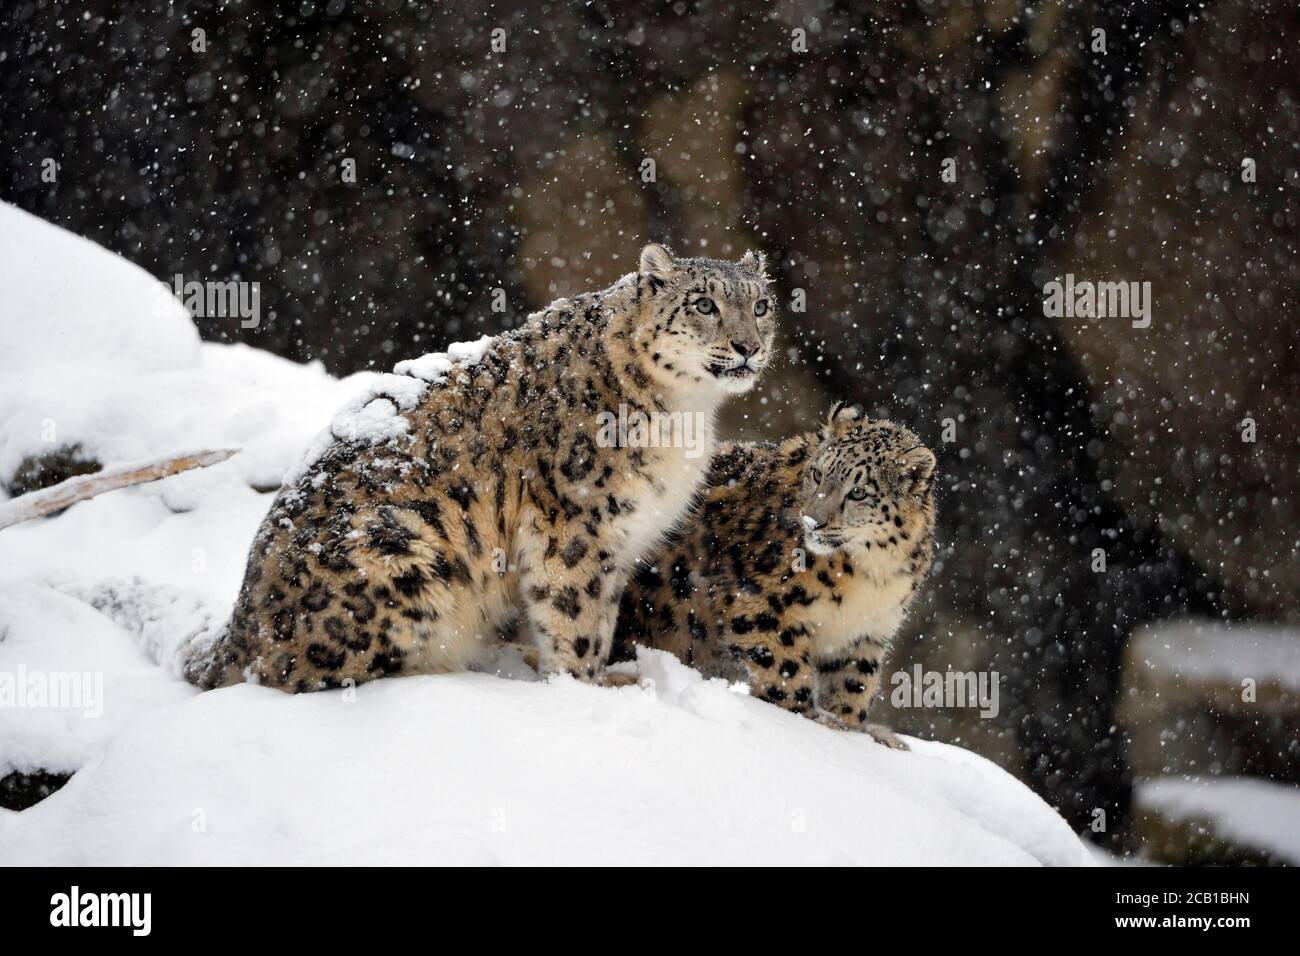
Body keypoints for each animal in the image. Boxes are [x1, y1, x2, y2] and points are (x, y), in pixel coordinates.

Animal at [186, 243, 776, 691]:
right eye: (703, 304)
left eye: (763, 305)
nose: (748, 346)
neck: (686, 413)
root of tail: (240, 625)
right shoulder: (579, 525)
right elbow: (576, 618)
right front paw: (590, 689)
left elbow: (600, 612)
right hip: (400, 553)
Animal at [612, 403, 936, 747]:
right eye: (818, 474)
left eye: (859, 493)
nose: (812, 521)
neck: (870, 574)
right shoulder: (758, 604)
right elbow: (786, 670)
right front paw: (810, 720)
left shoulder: (867, 632)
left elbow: (854, 685)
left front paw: (851, 729)